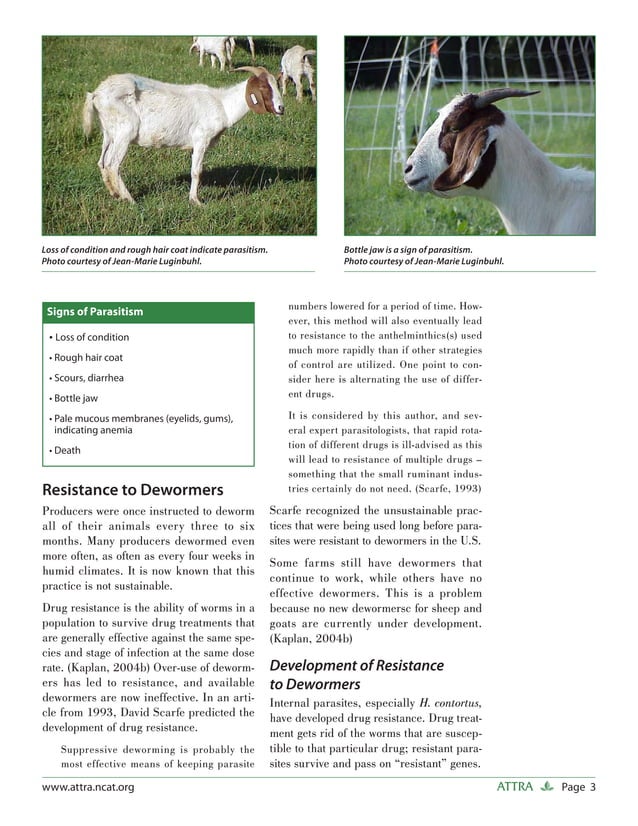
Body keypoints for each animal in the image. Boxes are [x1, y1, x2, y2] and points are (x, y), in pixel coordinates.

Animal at [82, 67, 284, 205]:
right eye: (264, 87)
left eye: (278, 85)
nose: (281, 108)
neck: (222, 104)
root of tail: (96, 94)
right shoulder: (201, 139)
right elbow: (197, 171)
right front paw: (196, 201)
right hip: (125, 132)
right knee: (113, 164)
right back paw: (130, 199)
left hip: (109, 133)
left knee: (102, 162)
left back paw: (115, 194)